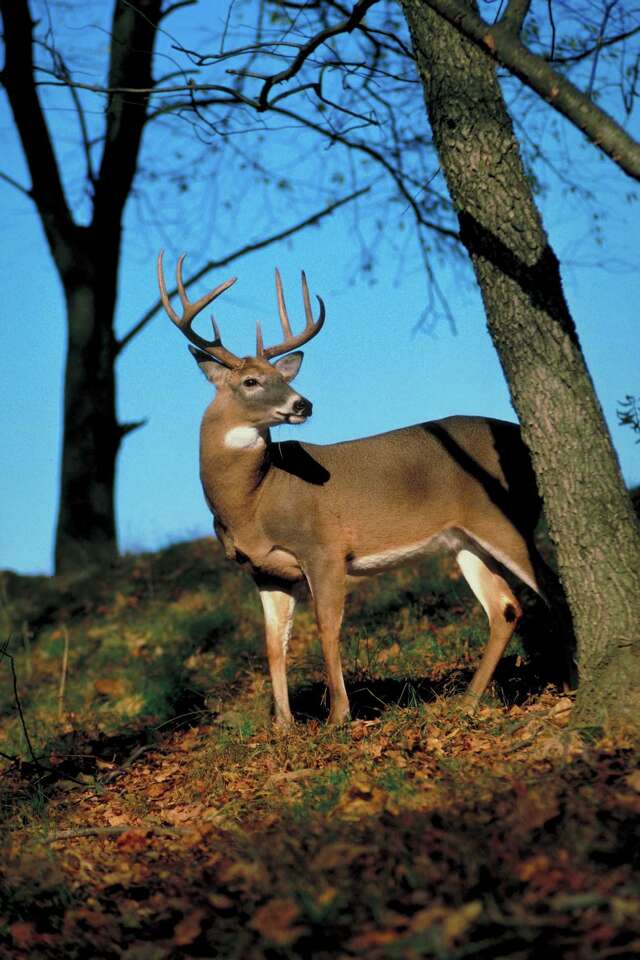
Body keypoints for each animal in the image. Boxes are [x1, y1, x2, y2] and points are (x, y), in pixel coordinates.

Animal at [158, 252, 563, 727]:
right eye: (250, 382)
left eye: (282, 376)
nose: (302, 403)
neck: (253, 502)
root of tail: (521, 438)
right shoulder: (264, 571)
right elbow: (274, 644)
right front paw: (283, 725)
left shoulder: (324, 550)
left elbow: (327, 628)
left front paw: (337, 716)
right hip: (466, 539)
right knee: (505, 608)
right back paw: (467, 702)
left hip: (502, 516)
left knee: (551, 587)